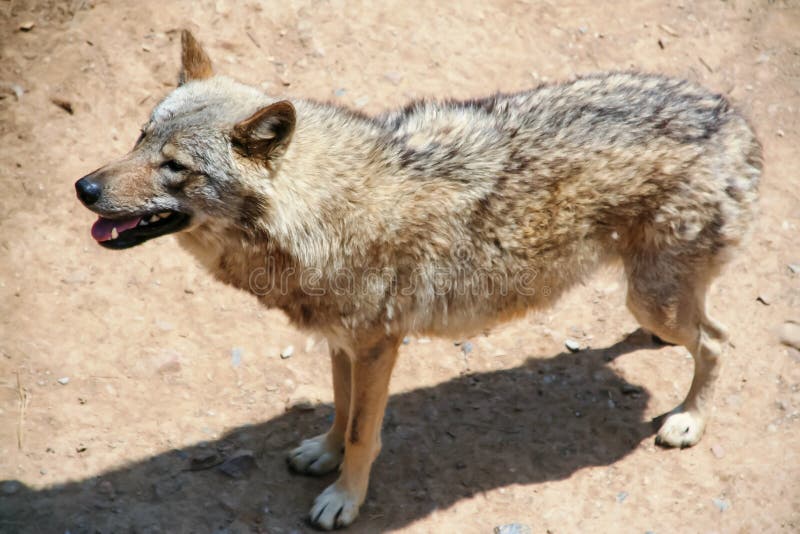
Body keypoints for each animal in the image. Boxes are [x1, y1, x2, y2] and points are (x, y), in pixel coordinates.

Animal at [75, 30, 761, 529]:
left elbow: (363, 432)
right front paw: (321, 453)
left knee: (720, 340)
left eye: (175, 167)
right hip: (651, 297)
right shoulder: (342, 343)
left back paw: (688, 420)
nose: (83, 188)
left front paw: (343, 499)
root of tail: (736, 120)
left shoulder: (380, 346)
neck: (320, 211)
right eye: (140, 138)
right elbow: (340, 409)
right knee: (691, 333)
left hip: (650, 297)